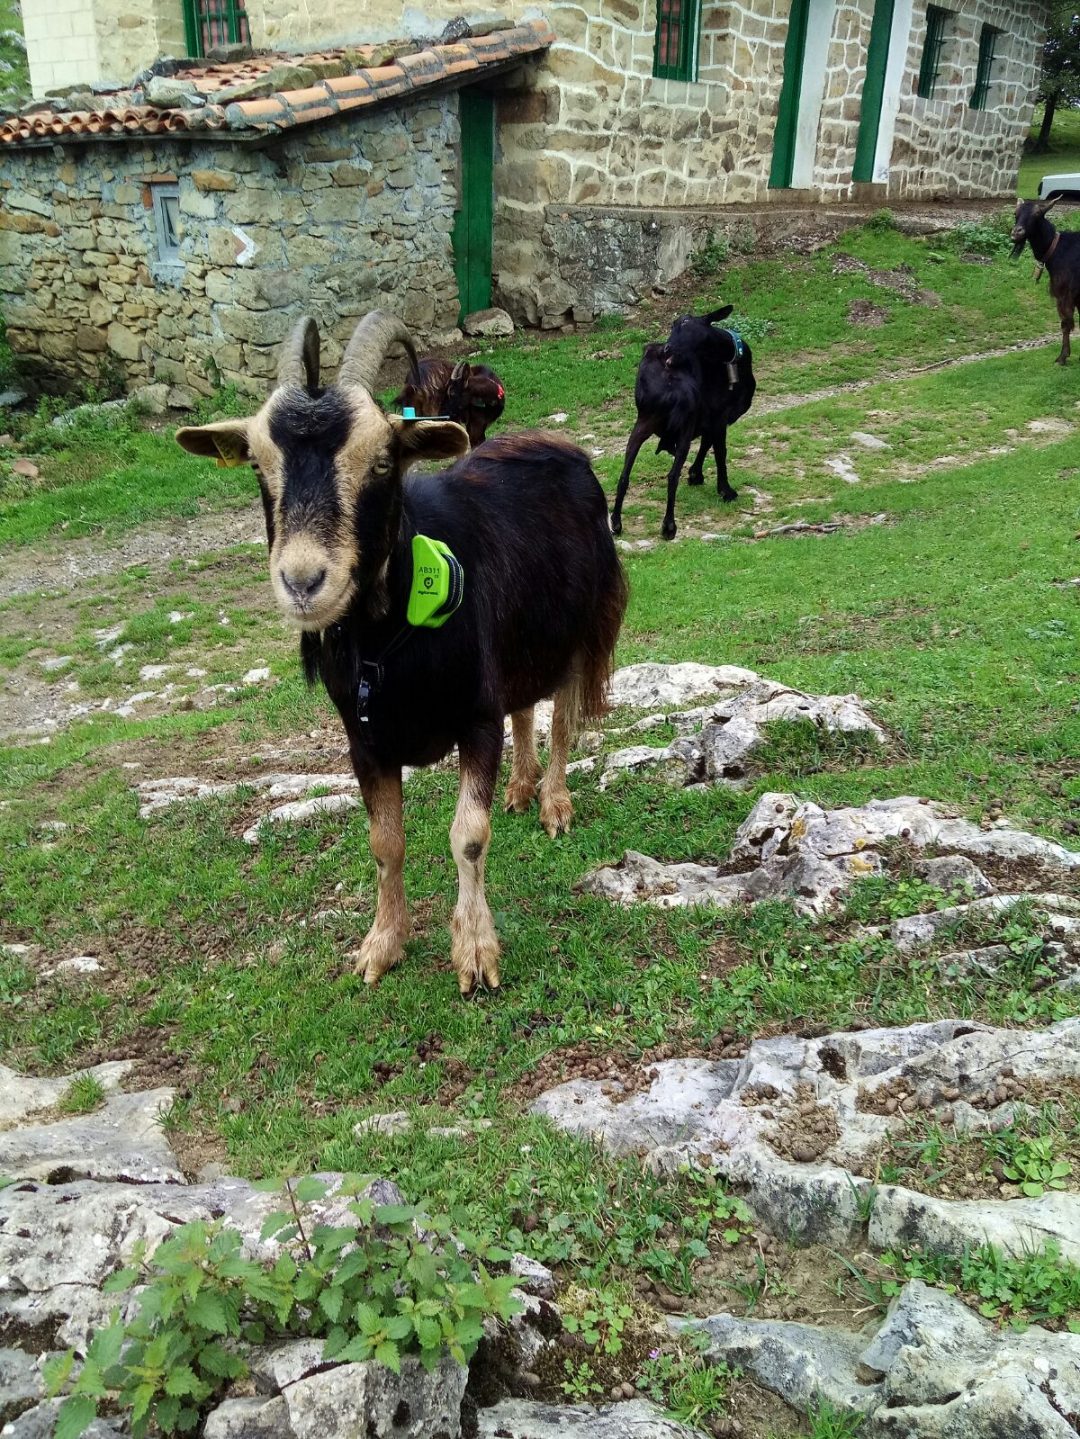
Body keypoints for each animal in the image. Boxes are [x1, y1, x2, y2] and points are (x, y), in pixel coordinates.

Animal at [176, 312, 626, 996]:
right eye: (257, 462)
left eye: (384, 460)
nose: (303, 582)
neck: (390, 643)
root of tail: (564, 448)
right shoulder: (365, 741)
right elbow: (385, 842)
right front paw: (381, 945)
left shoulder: (475, 718)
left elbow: (469, 836)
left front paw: (475, 955)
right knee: (525, 706)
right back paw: (521, 788)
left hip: (581, 628)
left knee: (566, 718)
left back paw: (553, 804)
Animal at [610, 303, 756, 540]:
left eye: (685, 322)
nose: (668, 349)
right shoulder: (718, 417)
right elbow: (719, 451)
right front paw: (724, 490)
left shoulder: (709, 419)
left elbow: (707, 443)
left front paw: (696, 475)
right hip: (683, 430)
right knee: (672, 476)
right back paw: (669, 526)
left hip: (643, 424)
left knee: (624, 476)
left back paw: (616, 523)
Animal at [1011, 195, 1080, 364]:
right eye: (1015, 213)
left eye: (1037, 215)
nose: (1016, 232)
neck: (1056, 249)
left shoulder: (1065, 293)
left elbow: (1066, 323)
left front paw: (1062, 357)